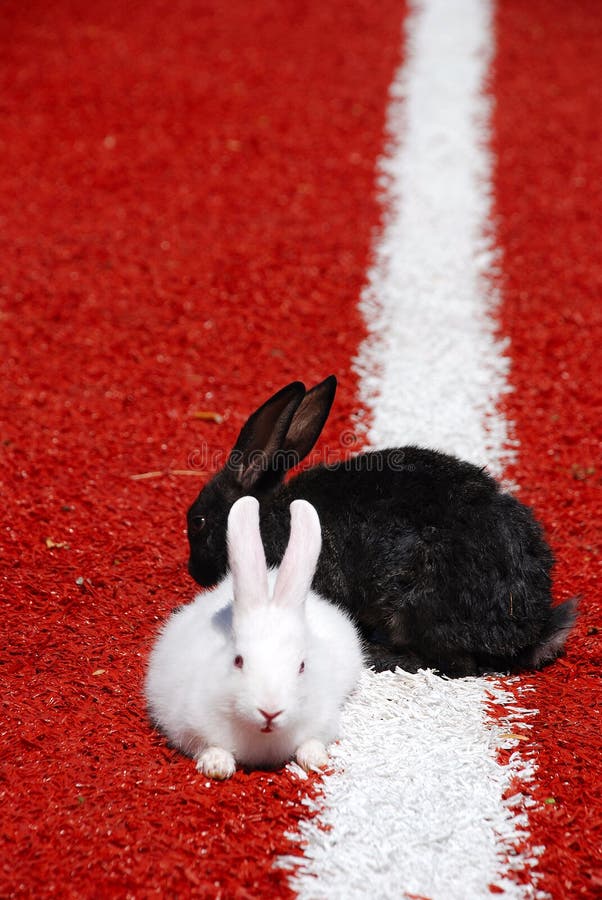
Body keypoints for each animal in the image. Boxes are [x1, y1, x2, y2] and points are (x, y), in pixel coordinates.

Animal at [145, 495, 364, 779]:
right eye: (238, 661)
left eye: (302, 666)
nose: (270, 711)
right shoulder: (186, 721)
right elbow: (209, 745)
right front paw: (217, 766)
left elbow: (312, 740)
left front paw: (315, 759)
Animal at [186, 377, 577, 678]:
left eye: (198, 521)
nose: (195, 572)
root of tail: (528, 632)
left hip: (413, 608)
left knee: (455, 665)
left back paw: (377, 656)